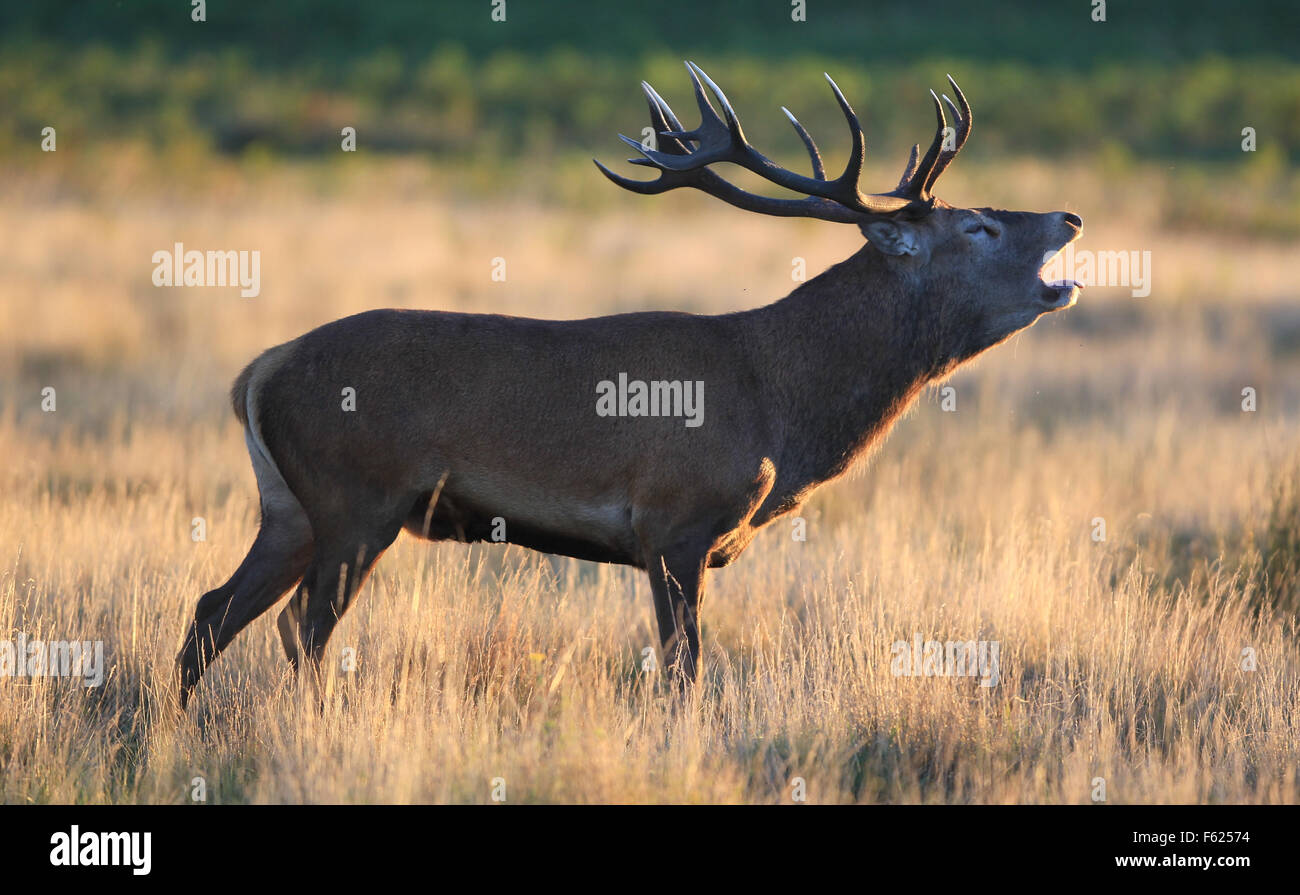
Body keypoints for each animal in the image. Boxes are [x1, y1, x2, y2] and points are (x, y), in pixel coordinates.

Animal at [176, 62, 1083, 709]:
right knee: (300, 626)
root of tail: (258, 372)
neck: (782, 406)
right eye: (980, 225)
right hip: (359, 495)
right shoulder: (673, 521)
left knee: (214, 609)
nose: (1069, 217)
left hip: (290, 506)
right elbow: (684, 674)